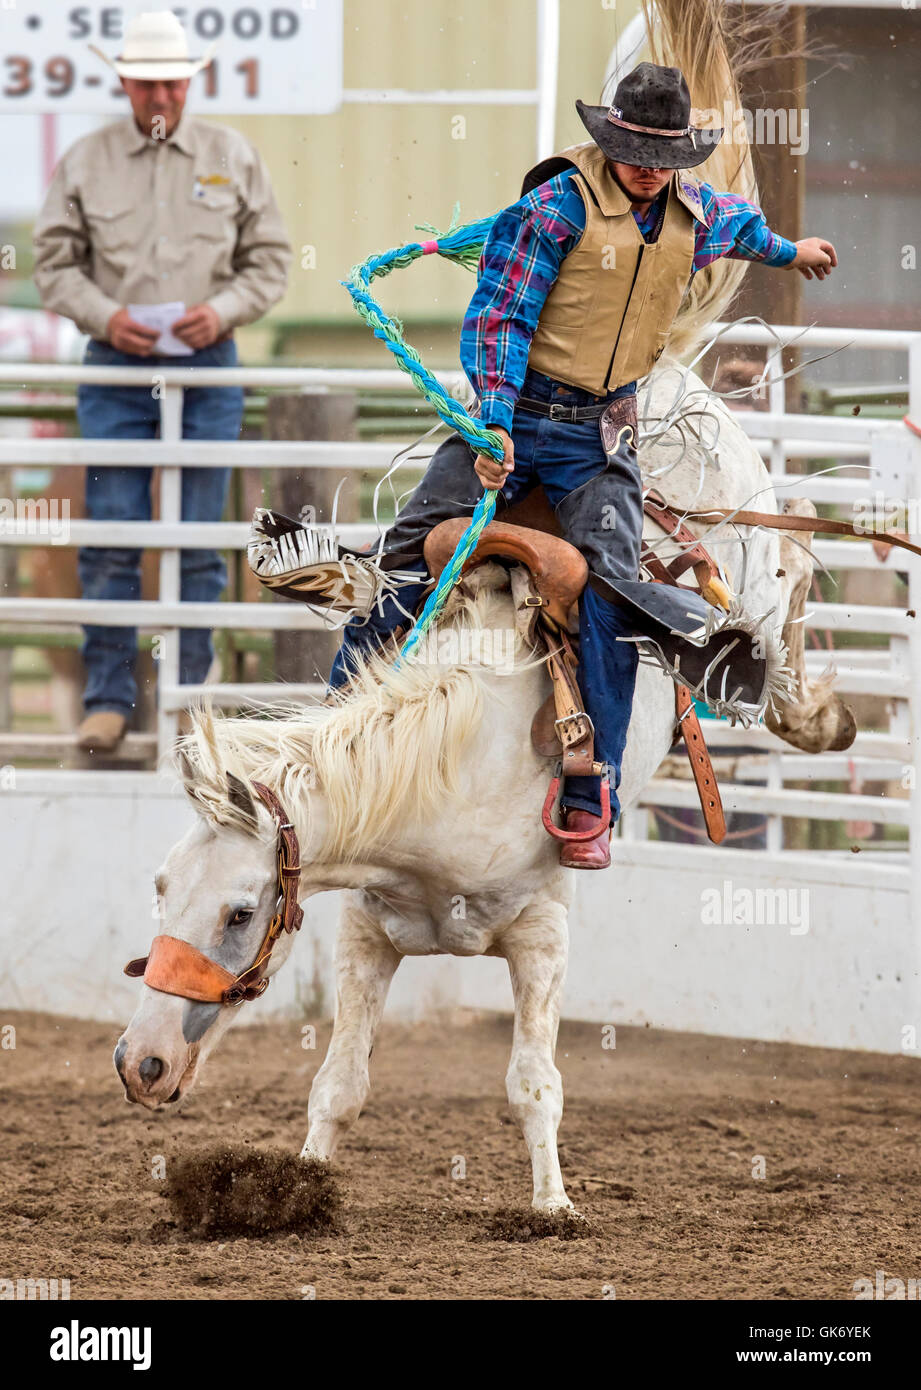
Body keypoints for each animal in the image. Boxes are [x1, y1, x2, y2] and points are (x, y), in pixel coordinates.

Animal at [114, 365, 854, 1214]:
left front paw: (552, 1207)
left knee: (791, 571)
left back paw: (822, 714)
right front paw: (301, 1186)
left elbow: (534, 1084)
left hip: (753, 585)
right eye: (161, 887)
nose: (140, 1062)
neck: (447, 780)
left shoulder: (542, 935)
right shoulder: (367, 933)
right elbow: (339, 1082)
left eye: (239, 913)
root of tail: (671, 382)